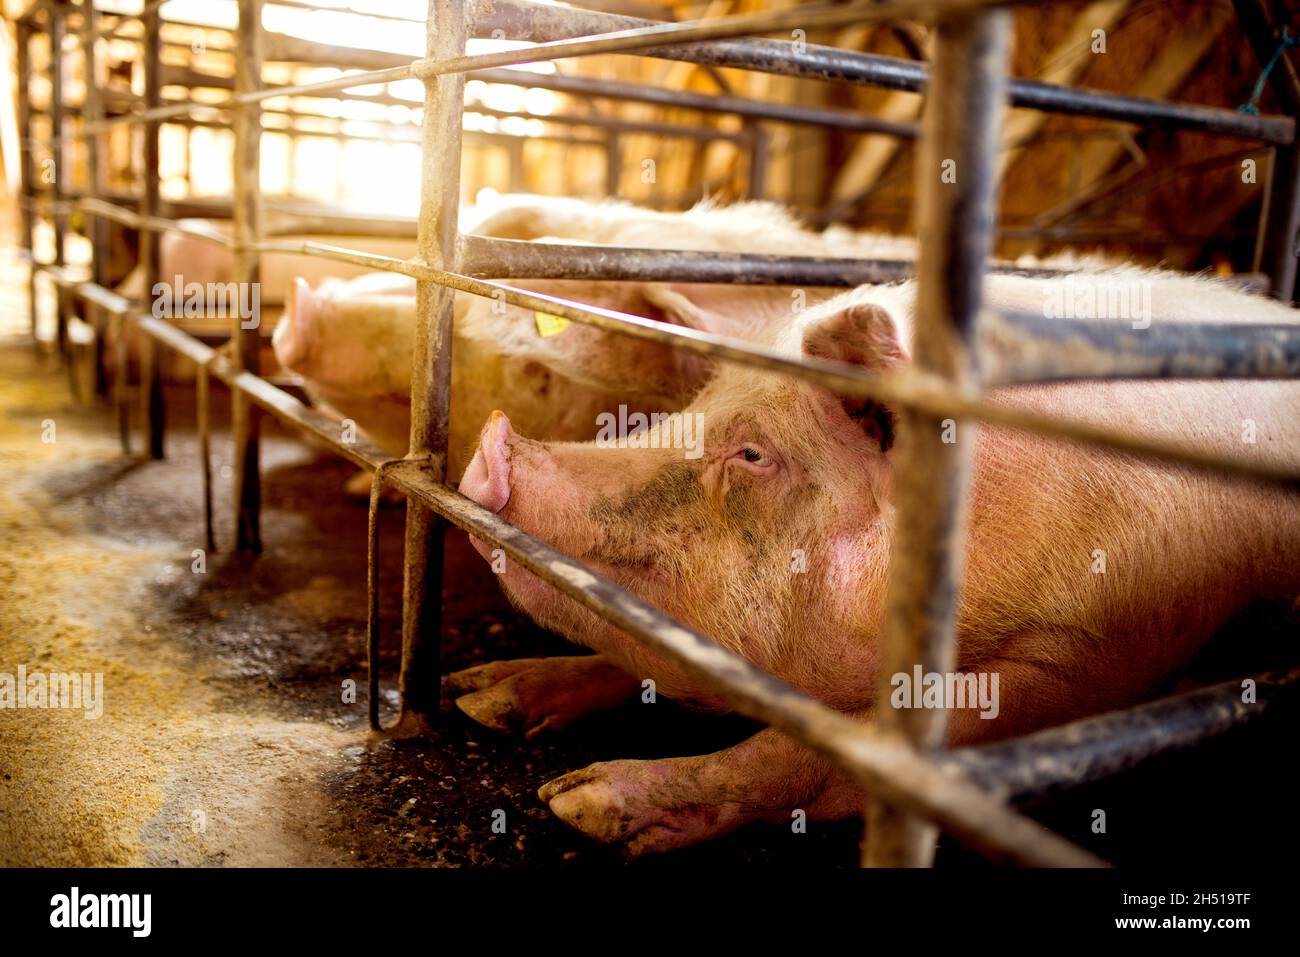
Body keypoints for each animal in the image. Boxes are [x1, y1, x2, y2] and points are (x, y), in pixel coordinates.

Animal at [452, 267, 1300, 855]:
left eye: (753, 453)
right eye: (693, 409)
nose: (494, 442)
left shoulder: (1093, 661)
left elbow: (798, 749)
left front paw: (581, 802)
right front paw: (480, 697)